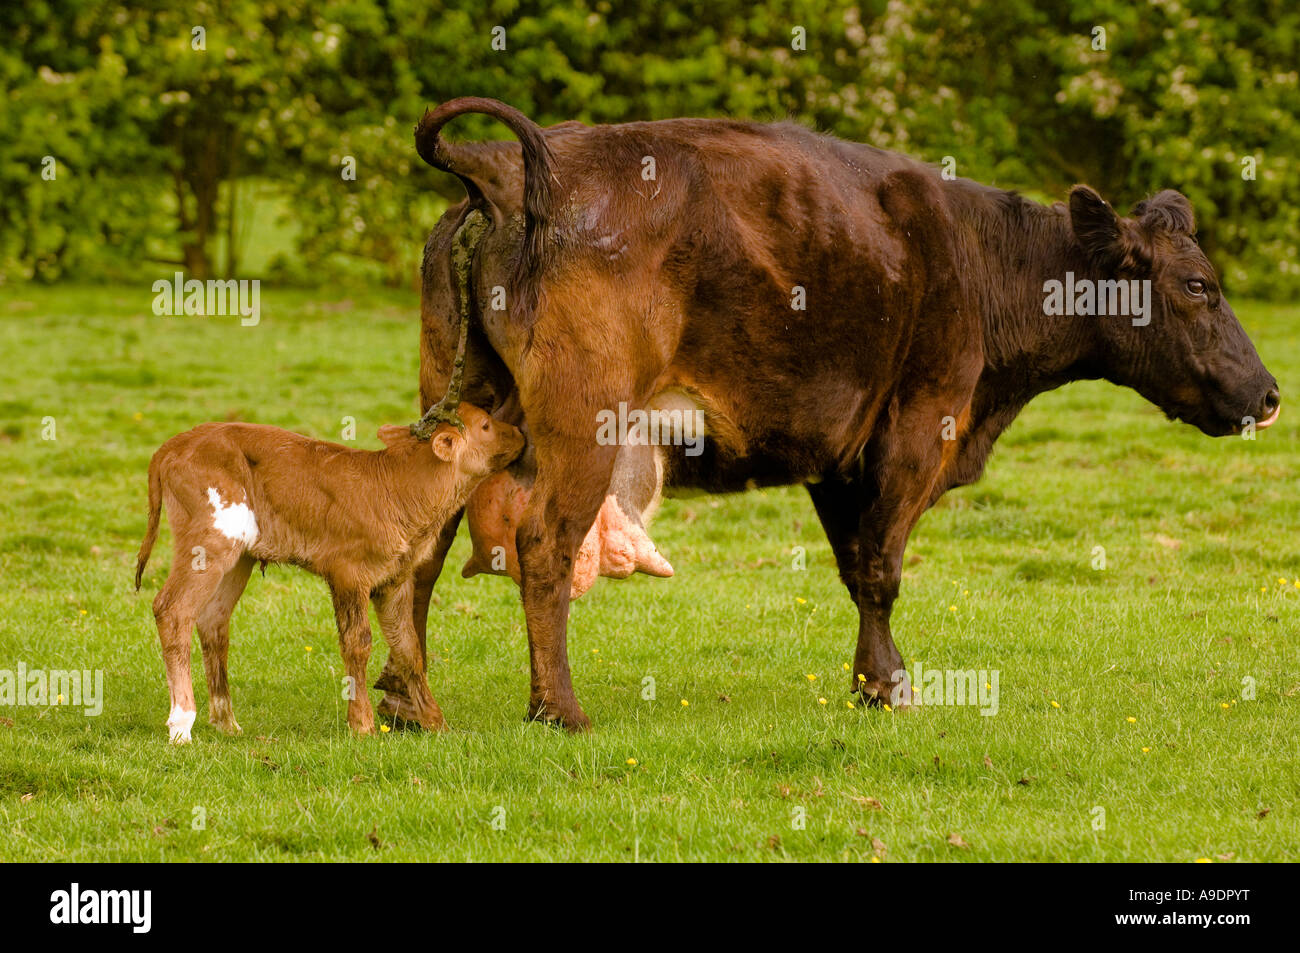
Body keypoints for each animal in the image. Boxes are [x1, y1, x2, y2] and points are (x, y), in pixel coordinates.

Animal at [377, 96, 1279, 732]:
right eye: (1199, 285)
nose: (1270, 394)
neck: (978, 261)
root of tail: (510, 167)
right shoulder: (916, 427)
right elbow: (881, 567)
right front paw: (888, 687)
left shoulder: (837, 451)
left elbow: (855, 566)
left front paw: (872, 678)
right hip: (582, 421)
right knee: (545, 544)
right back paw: (556, 708)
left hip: (462, 402)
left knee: (423, 549)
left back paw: (406, 700)